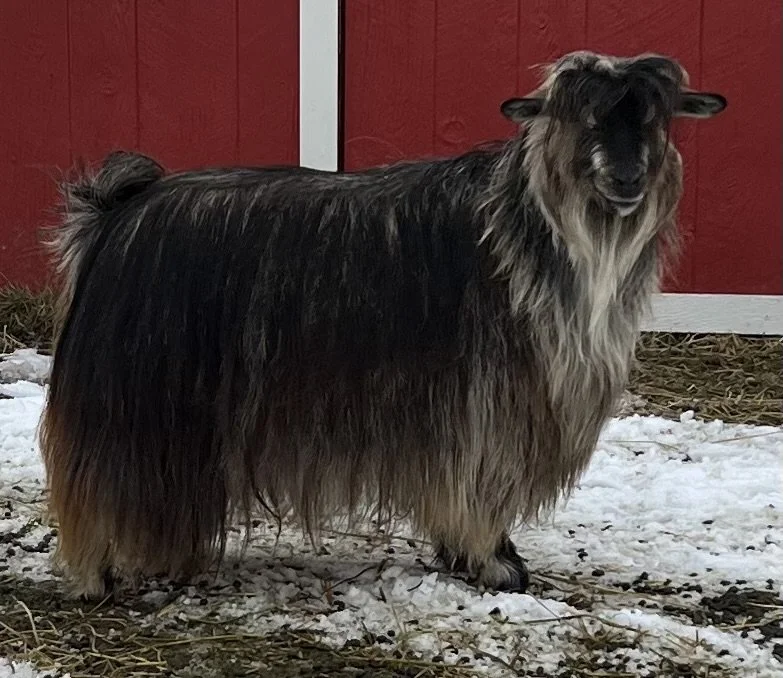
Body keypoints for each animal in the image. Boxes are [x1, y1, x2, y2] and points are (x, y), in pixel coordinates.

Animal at [40, 51, 726, 598]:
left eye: (656, 119)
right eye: (581, 116)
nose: (626, 178)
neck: (530, 227)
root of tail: (114, 215)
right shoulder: (488, 405)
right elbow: (479, 487)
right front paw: (491, 562)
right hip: (128, 410)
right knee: (92, 488)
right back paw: (96, 578)